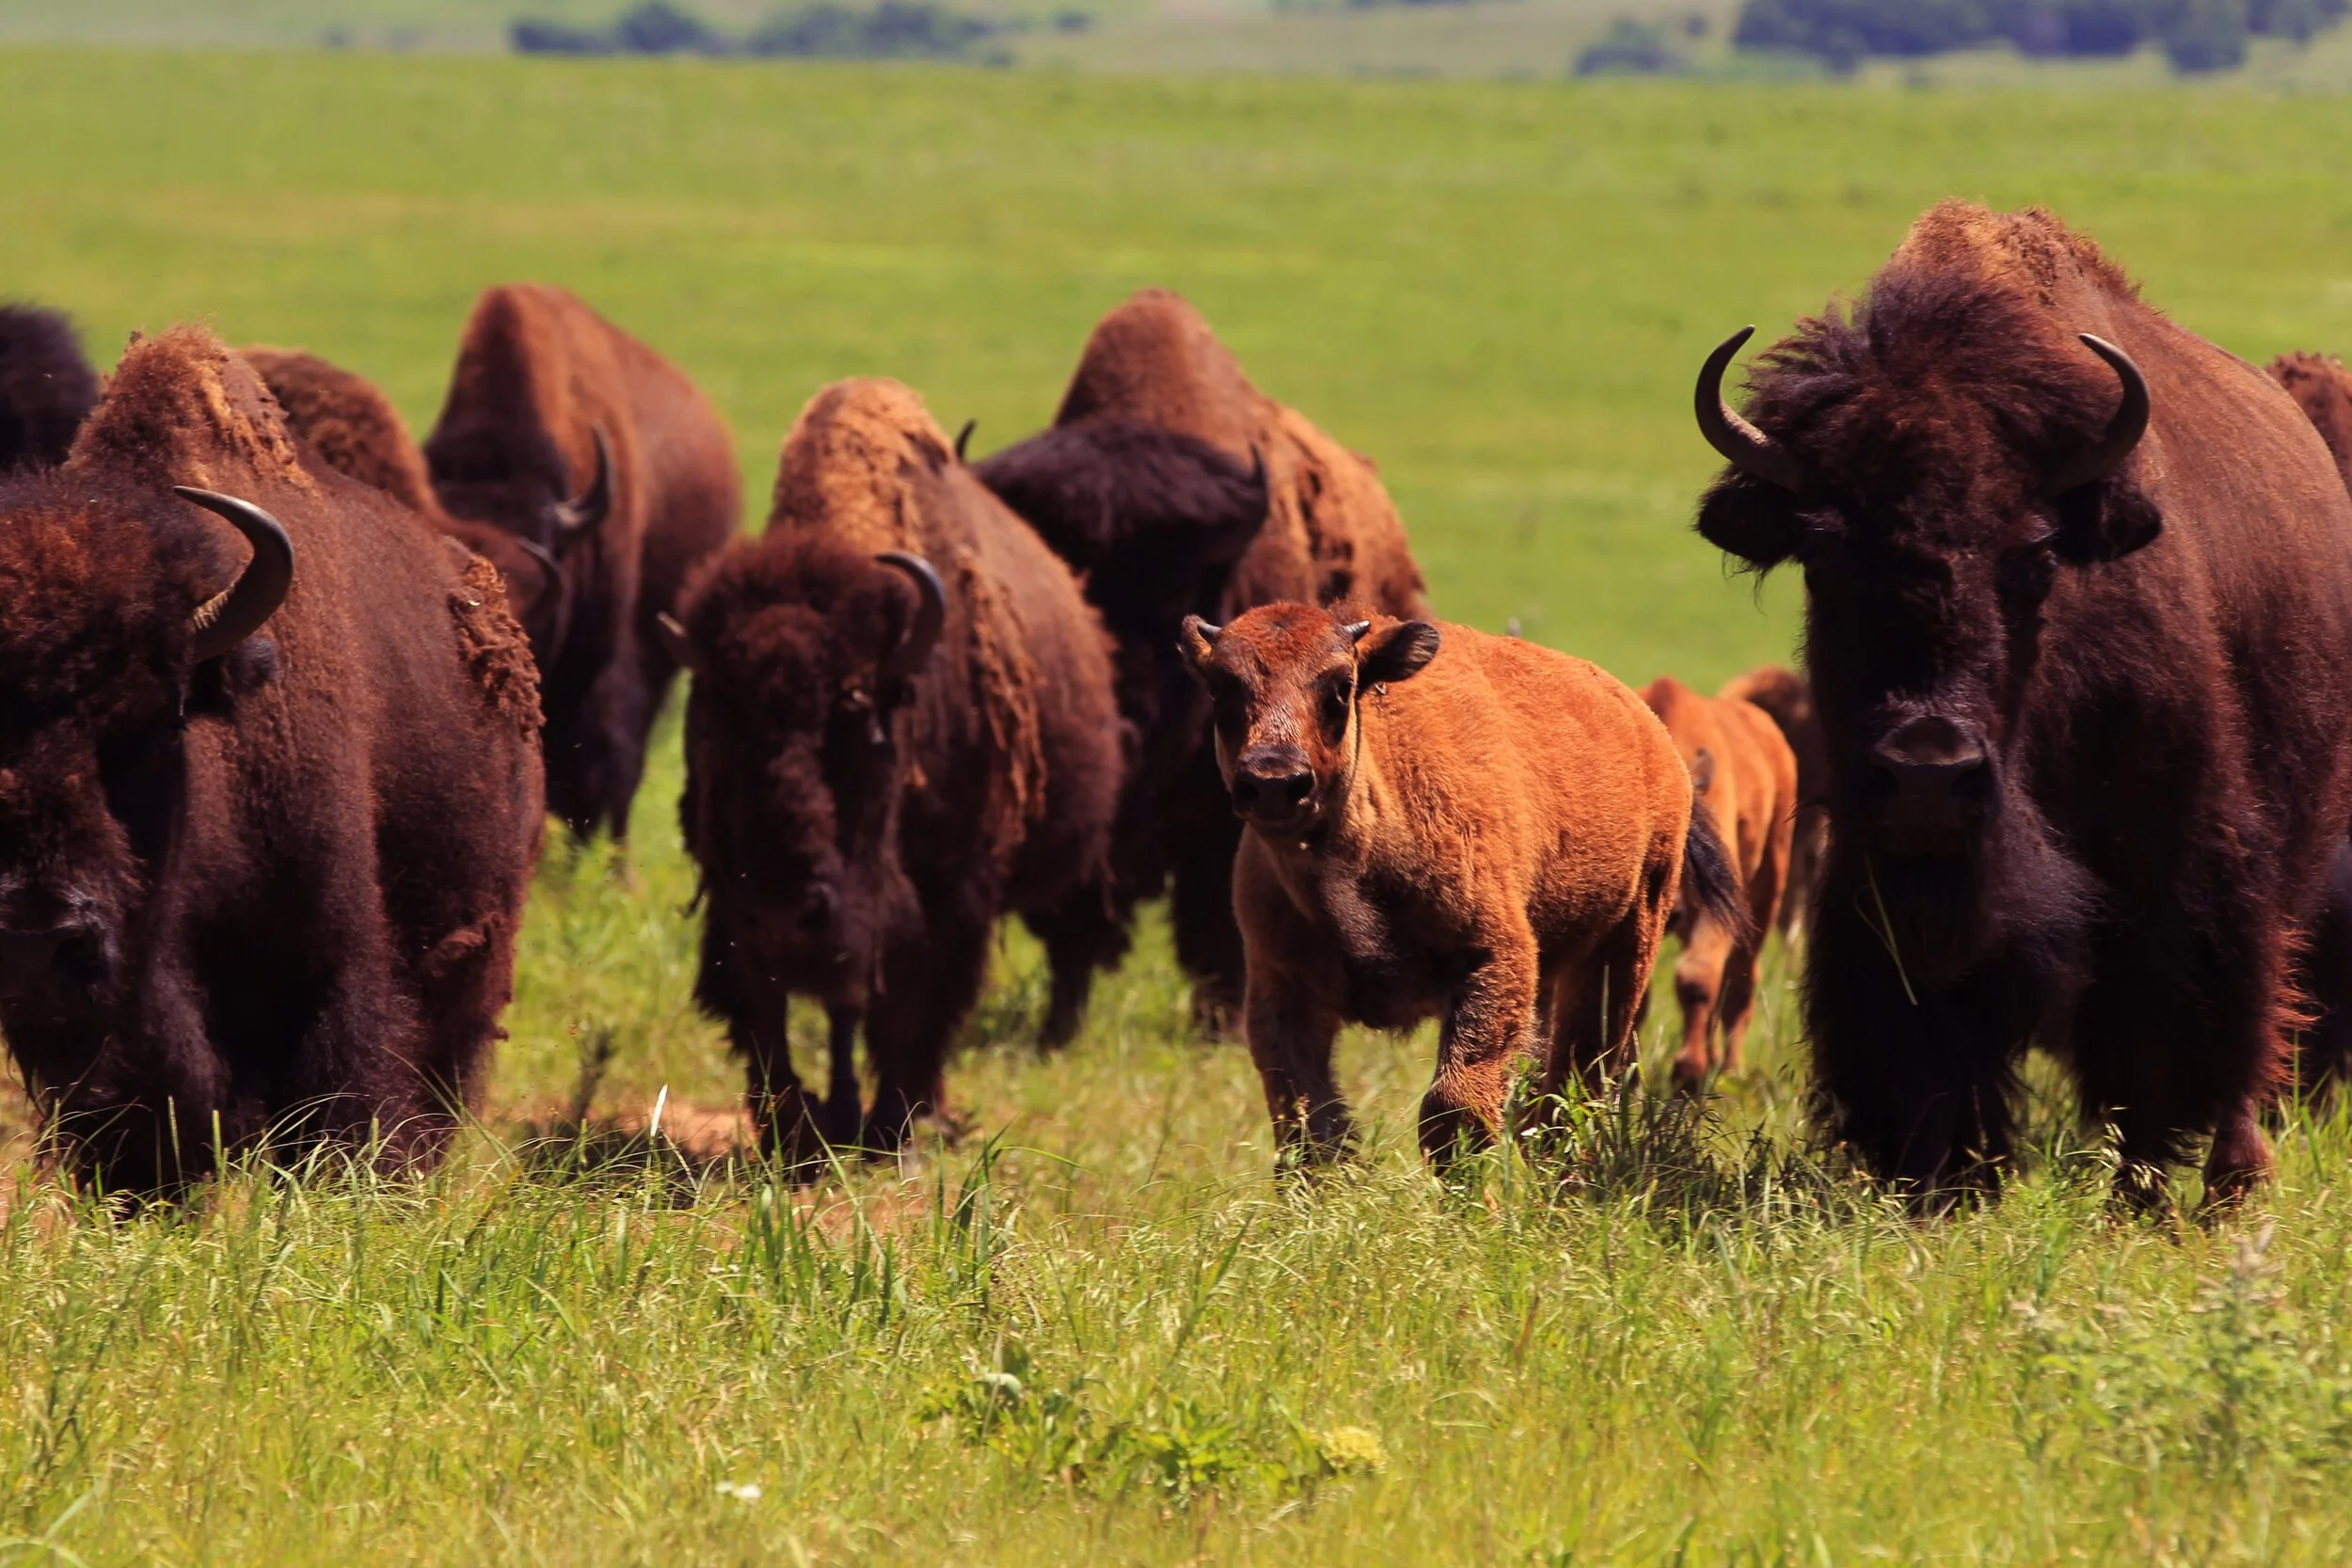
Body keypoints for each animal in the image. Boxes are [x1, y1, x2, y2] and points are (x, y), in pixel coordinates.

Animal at [665, 378, 1123, 1161]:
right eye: (717, 722)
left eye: (860, 714)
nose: (787, 912)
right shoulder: (734, 907)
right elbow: (766, 1012)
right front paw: (792, 1133)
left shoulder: (950, 896)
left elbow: (910, 1011)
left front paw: (894, 1130)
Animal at [976, 290, 1428, 1033]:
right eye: (1058, 584)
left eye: (1169, 589)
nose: (1116, 711)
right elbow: (1075, 929)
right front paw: (1055, 1032)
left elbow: (1216, 919)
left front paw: (1219, 1025)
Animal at [1185, 603, 1742, 1167]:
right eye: (1218, 687)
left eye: (1341, 687)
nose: (1275, 783)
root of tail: (1655, 736)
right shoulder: (1280, 987)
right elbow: (1310, 1126)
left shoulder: (1492, 958)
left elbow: (1452, 1108)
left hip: (1628, 936)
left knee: (1585, 1065)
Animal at [1693, 201, 2352, 1205]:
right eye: (1823, 554)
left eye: (2037, 556)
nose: (1928, 774)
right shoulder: (1876, 883)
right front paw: (1942, 1185)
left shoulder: (2174, 849)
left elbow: (2161, 1037)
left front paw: (2139, 1196)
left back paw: (2233, 1184)